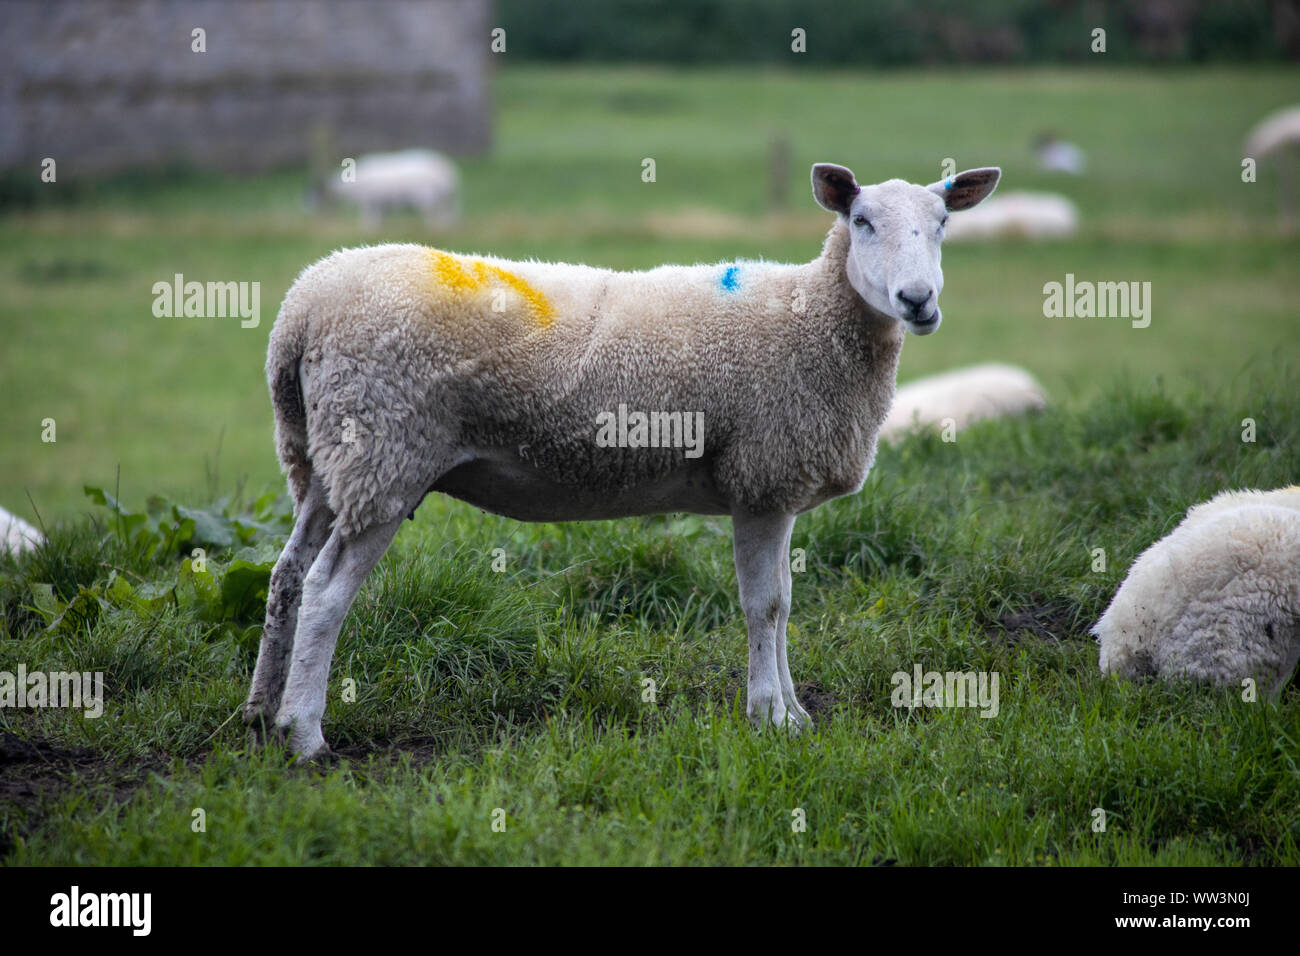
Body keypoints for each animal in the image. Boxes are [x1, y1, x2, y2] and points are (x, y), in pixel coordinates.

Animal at [244, 161, 1002, 760]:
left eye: (942, 223)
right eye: (863, 221)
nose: (918, 301)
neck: (810, 315)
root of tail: (300, 312)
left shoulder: (774, 489)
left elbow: (784, 604)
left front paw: (792, 711)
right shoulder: (762, 478)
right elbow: (766, 606)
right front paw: (771, 717)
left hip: (328, 461)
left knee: (286, 575)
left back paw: (258, 713)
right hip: (385, 453)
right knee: (326, 591)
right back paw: (304, 733)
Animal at [326, 149, 460, 230]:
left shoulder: (369, 200)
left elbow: (369, 215)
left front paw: (368, 227)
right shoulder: (376, 200)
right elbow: (377, 213)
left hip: (426, 193)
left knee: (432, 210)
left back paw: (434, 226)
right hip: (446, 195)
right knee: (448, 209)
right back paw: (447, 223)